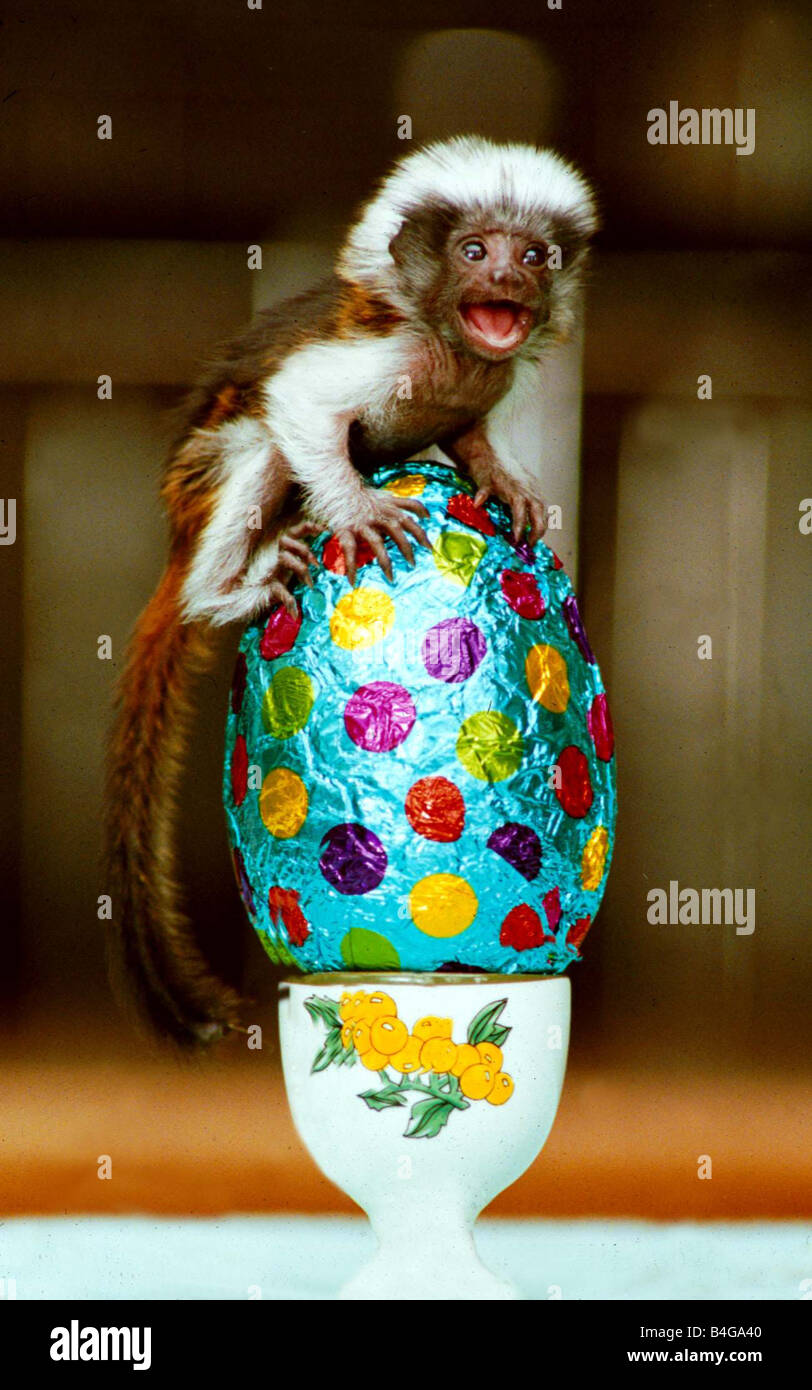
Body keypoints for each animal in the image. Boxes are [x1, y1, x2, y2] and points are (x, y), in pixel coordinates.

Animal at [104, 135, 598, 1049]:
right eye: (475, 252)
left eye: (533, 256)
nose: (508, 282)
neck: (451, 351)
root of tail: (176, 527)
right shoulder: (384, 356)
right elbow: (298, 405)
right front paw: (360, 506)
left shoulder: (478, 389)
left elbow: (469, 438)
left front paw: (502, 479)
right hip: (202, 483)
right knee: (259, 437)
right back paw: (220, 594)